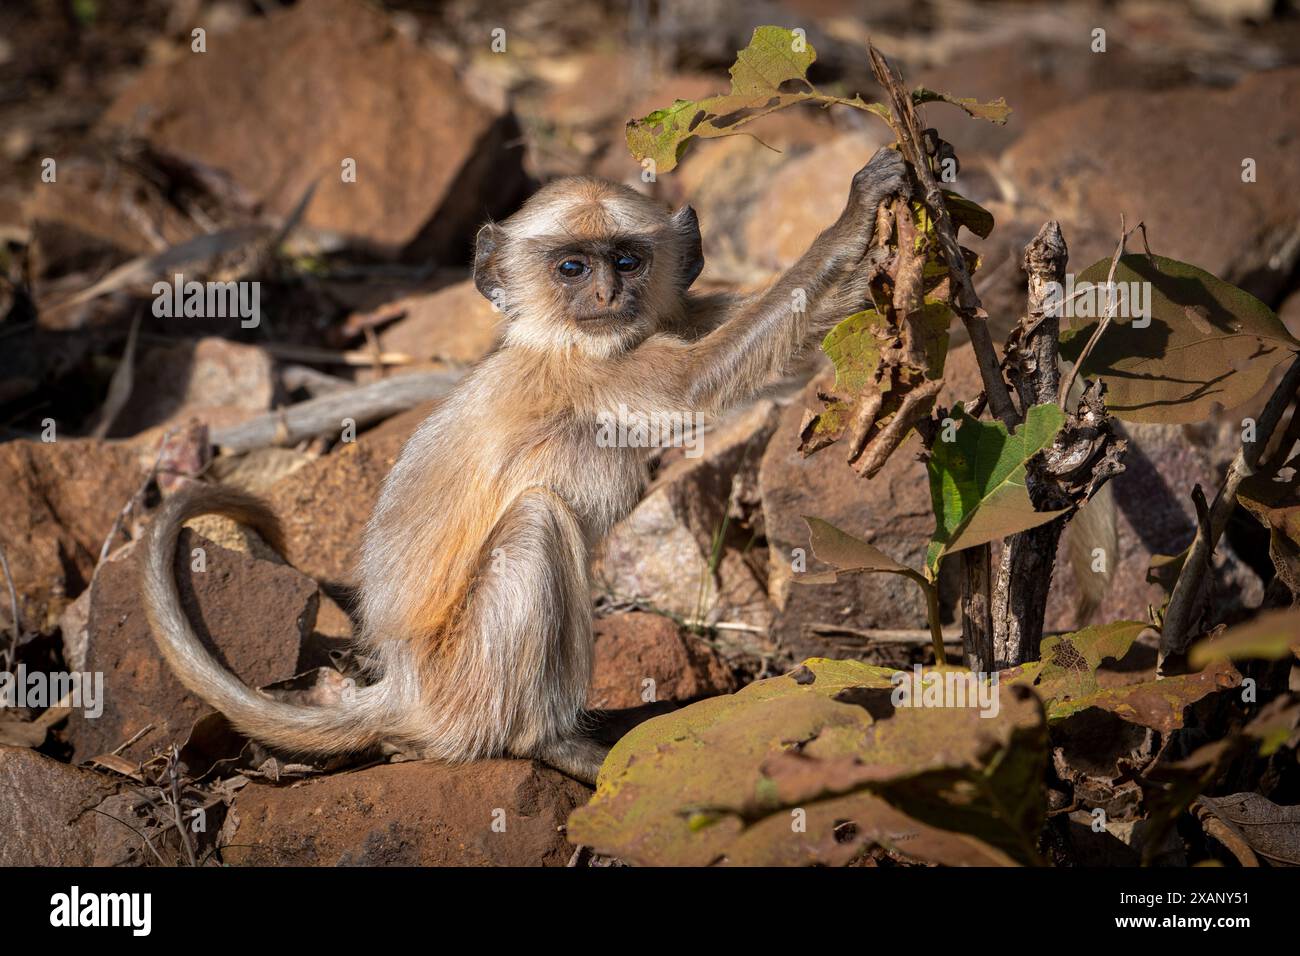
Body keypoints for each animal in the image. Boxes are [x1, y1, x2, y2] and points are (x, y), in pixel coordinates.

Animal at [140, 146, 911, 784]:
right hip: (468, 680)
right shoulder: (592, 374)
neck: (559, 339)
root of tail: (403, 692)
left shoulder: (672, 315)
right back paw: (547, 743)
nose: (606, 295)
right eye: (572, 266)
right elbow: (697, 383)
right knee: (540, 523)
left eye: (625, 261)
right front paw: (855, 216)